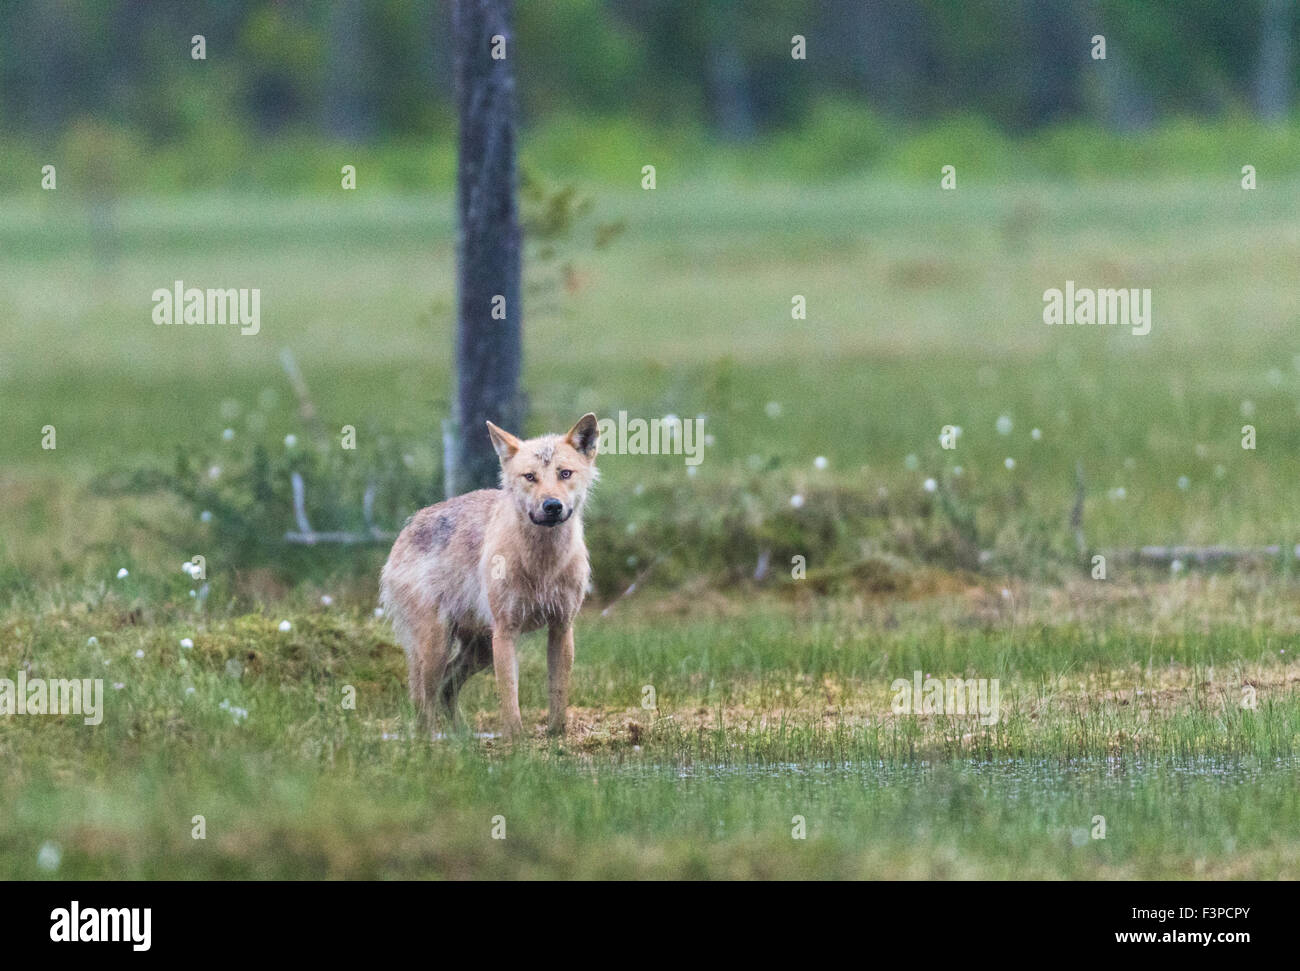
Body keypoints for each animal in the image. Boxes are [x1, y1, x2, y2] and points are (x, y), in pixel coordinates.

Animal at [380, 414, 599, 738]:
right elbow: (509, 696)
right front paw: (516, 741)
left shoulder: (561, 627)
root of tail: (408, 526)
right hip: (436, 648)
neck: (542, 566)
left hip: (477, 651)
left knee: (446, 689)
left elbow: (558, 694)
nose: (552, 505)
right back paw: (431, 744)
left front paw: (556, 737)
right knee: (424, 704)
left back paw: (462, 739)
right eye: (530, 477)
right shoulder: (505, 633)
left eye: (565, 473)